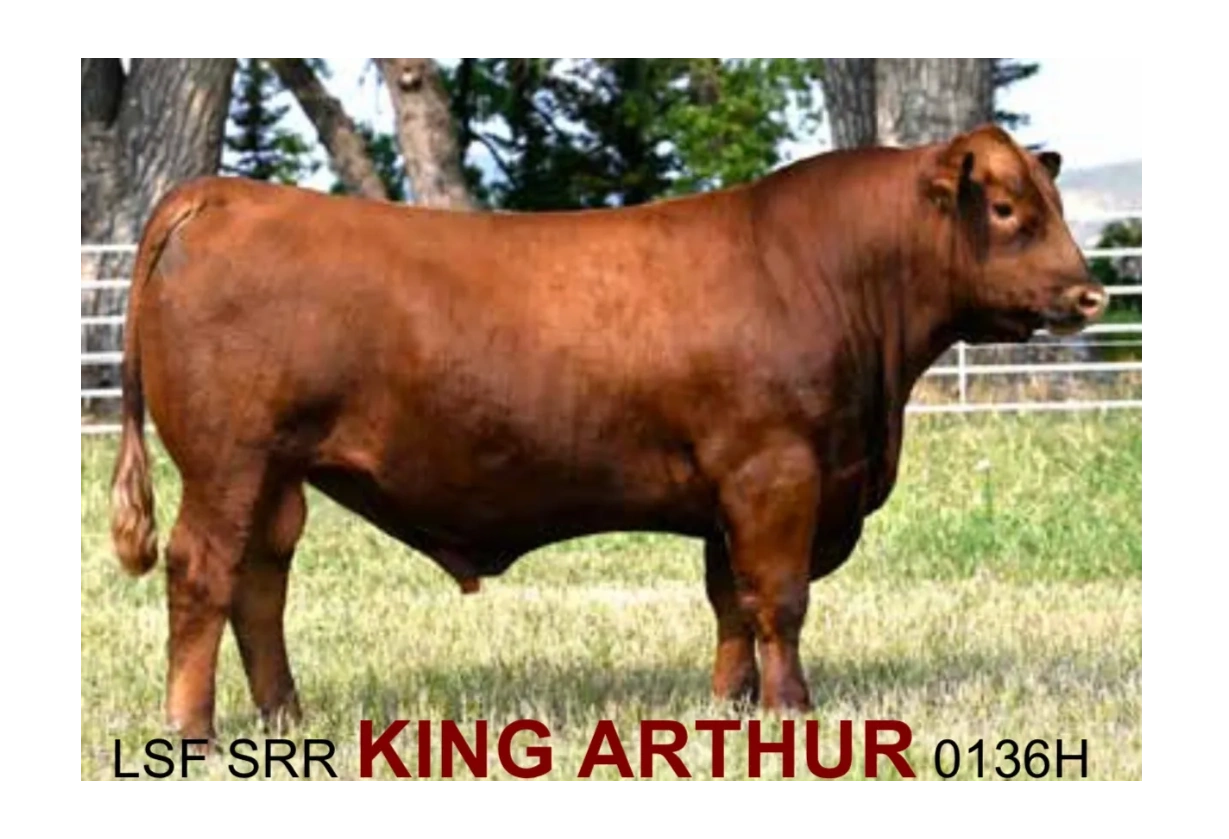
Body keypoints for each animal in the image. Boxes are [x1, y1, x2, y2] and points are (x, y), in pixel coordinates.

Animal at [109, 123, 1106, 747]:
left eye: (1053, 203)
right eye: (1007, 210)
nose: (1089, 293)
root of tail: (221, 194)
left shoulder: (729, 491)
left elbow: (730, 603)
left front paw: (728, 709)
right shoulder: (775, 471)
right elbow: (779, 600)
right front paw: (793, 711)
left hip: (277, 471)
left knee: (260, 580)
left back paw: (285, 716)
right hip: (226, 460)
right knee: (203, 572)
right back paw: (191, 728)